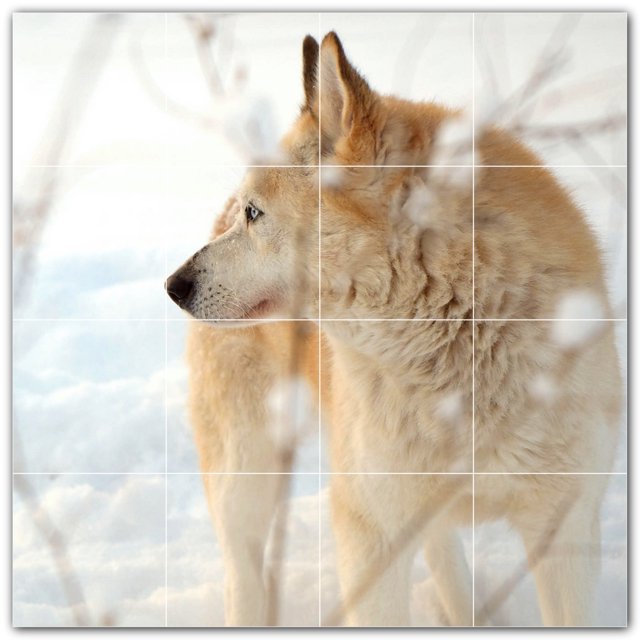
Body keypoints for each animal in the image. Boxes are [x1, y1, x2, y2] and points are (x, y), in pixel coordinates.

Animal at [166, 32, 621, 627]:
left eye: (255, 213)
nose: (174, 285)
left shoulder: (565, 528)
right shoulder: (371, 534)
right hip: (247, 471)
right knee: (241, 573)